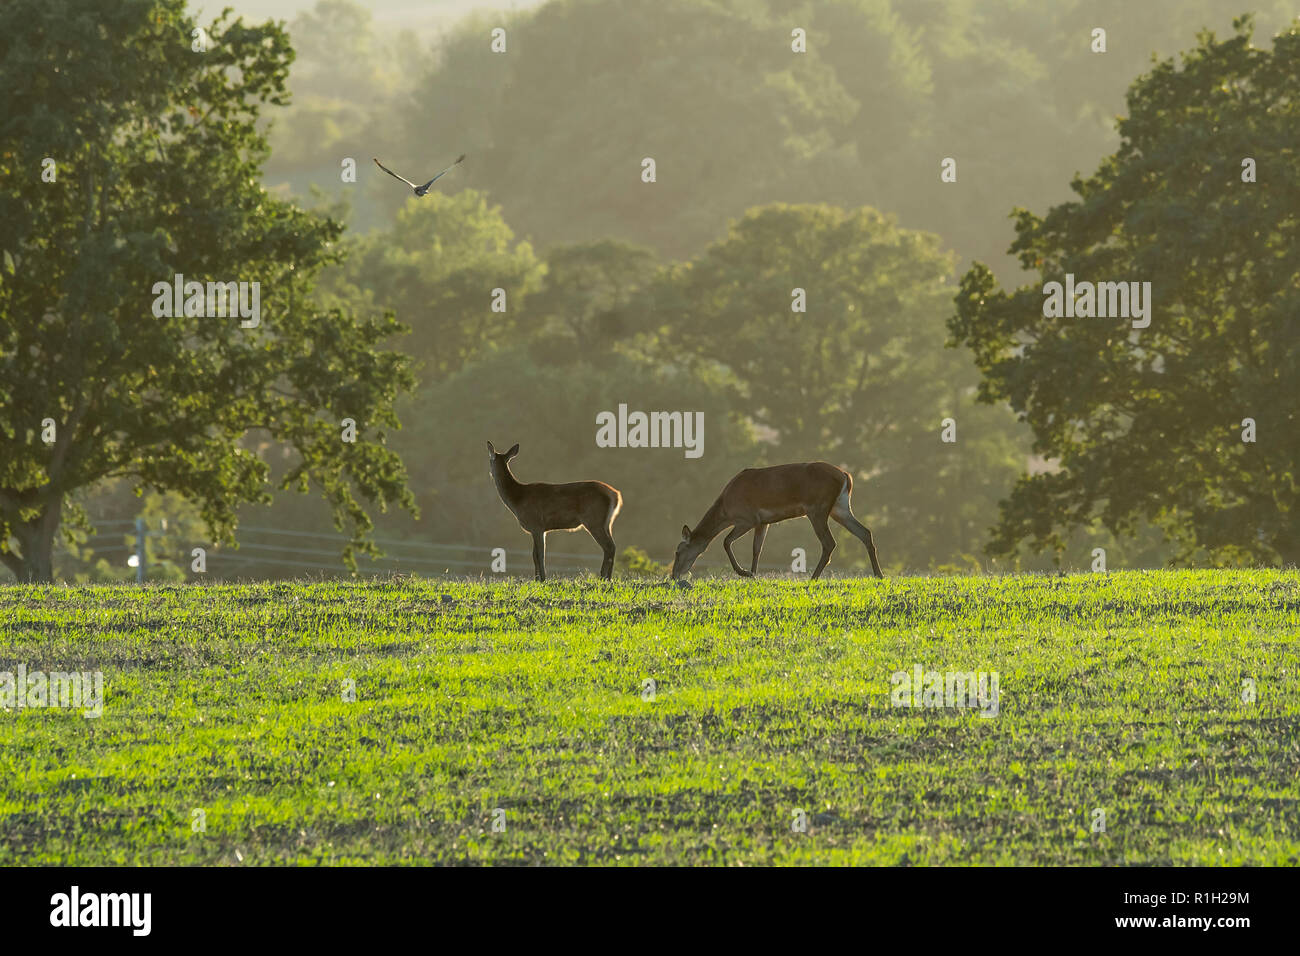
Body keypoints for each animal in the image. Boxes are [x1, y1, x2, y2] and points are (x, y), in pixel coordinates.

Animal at [486, 441, 623, 581]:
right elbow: (534, 555)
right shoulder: (538, 529)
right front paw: (536, 579)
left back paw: (604, 578)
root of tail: (615, 494)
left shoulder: (536, 524)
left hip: (594, 520)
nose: (490, 473)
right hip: (606, 523)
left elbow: (539, 555)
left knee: (608, 547)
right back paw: (607, 578)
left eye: (489, 460)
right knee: (612, 546)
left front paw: (542, 579)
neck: (517, 498)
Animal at [669, 461, 883, 581]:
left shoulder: (747, 518)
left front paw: (744, 572)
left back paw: (813, 578)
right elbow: (757, 549)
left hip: (818, 508)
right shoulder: (763, 522)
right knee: (865, 532)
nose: (673, 575)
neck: (725, 509)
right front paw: (753, 574)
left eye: (678, 552)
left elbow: (725, 541)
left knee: (829, 542)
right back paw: (878, 575)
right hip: (840, 507)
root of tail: (846, 476)